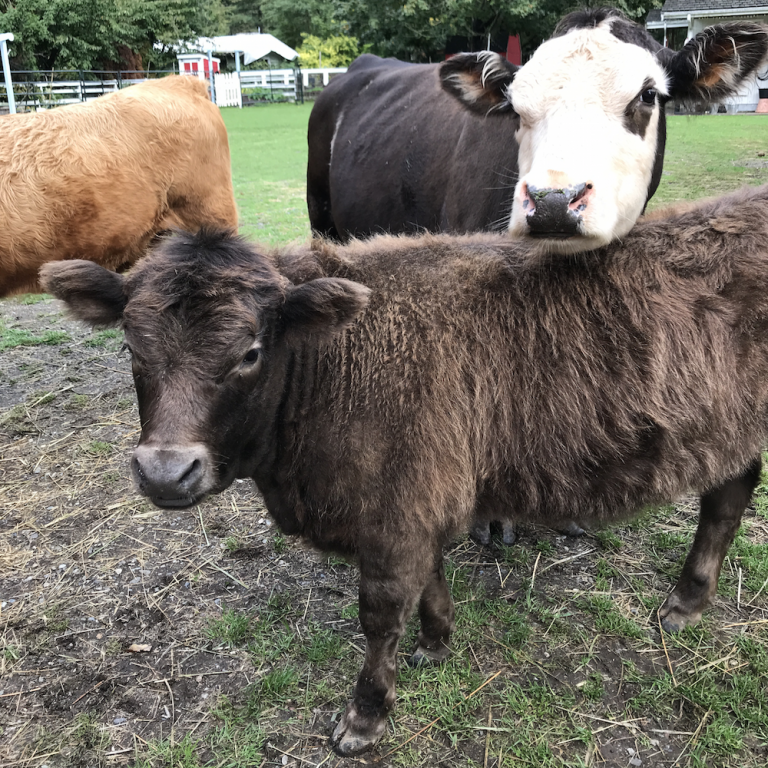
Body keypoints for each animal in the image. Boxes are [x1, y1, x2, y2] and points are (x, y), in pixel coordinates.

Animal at [42, 184, 768, 755]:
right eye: (130, 347)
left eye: (250, 351)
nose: (166, 471)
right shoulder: (416, 500)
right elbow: (430, 582)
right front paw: (438, 642)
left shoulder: (397, 512)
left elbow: (381, 614)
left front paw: (364, 717)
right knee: (730, 493)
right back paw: (688, 602)